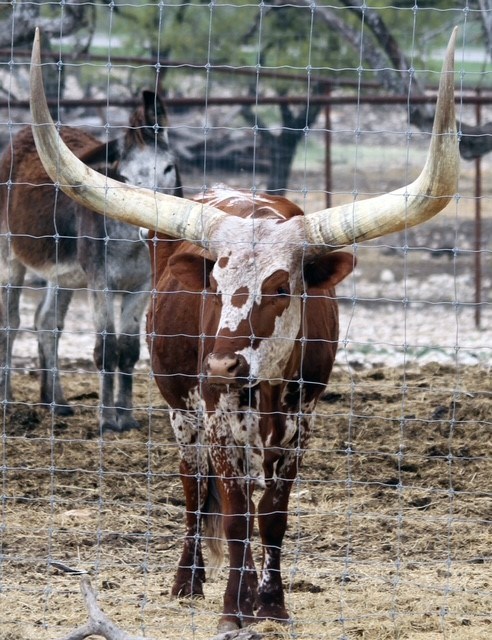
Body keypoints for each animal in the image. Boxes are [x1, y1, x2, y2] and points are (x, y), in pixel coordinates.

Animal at [0, 88, 182, 431]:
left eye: (169, 168)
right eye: (124, 178)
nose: (150, 228)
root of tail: (23, 136)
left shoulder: (142, 285)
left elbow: (129, 350)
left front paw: (126, 417)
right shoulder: (101, 282)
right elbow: (107, 348)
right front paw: (107, 420)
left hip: (63, 275)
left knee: (47, 323)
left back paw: (55, 402)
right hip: (10, 257)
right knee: (11, 322)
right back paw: (7, 400)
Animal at [29, 27, 459, 631]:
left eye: (281, 287)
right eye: (215, 282)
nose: (221, 364)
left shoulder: (301, 420)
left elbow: (272, 515)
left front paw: (272, 604)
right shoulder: (218, 417)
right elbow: (233, 515)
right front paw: (234, 610)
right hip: (181, 408)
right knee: (194, 488)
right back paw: (188, 581)